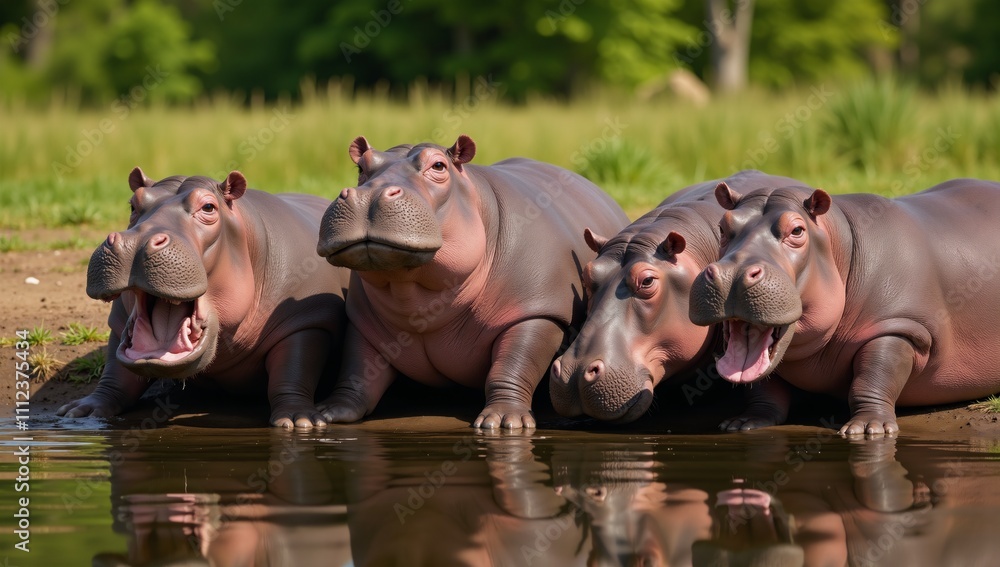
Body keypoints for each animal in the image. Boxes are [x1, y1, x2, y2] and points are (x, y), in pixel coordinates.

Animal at [57, 168, 351, 428]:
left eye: (209, 207)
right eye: (133, 204)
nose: (135, 241)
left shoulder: (306, 320)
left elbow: (293, 370)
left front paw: (298, 419)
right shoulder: (118, 323)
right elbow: (116, 375)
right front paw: (81, 411)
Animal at [315, 135, 629, 429]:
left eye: (438, 166)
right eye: (361, 167)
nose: (367, 195)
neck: (420, 303)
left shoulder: (537, 313)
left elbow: (512, 365)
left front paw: (502, 422)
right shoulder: (362, 321)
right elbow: (358, 369)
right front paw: (328, 414)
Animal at [689, 179, 1000, 436]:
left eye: (797, 230)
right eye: (723, 226)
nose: (732, 274)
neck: (840, 244)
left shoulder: (900, 327)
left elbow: (873, 376)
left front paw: (868, 429)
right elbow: (765, 389)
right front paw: (744, 423)